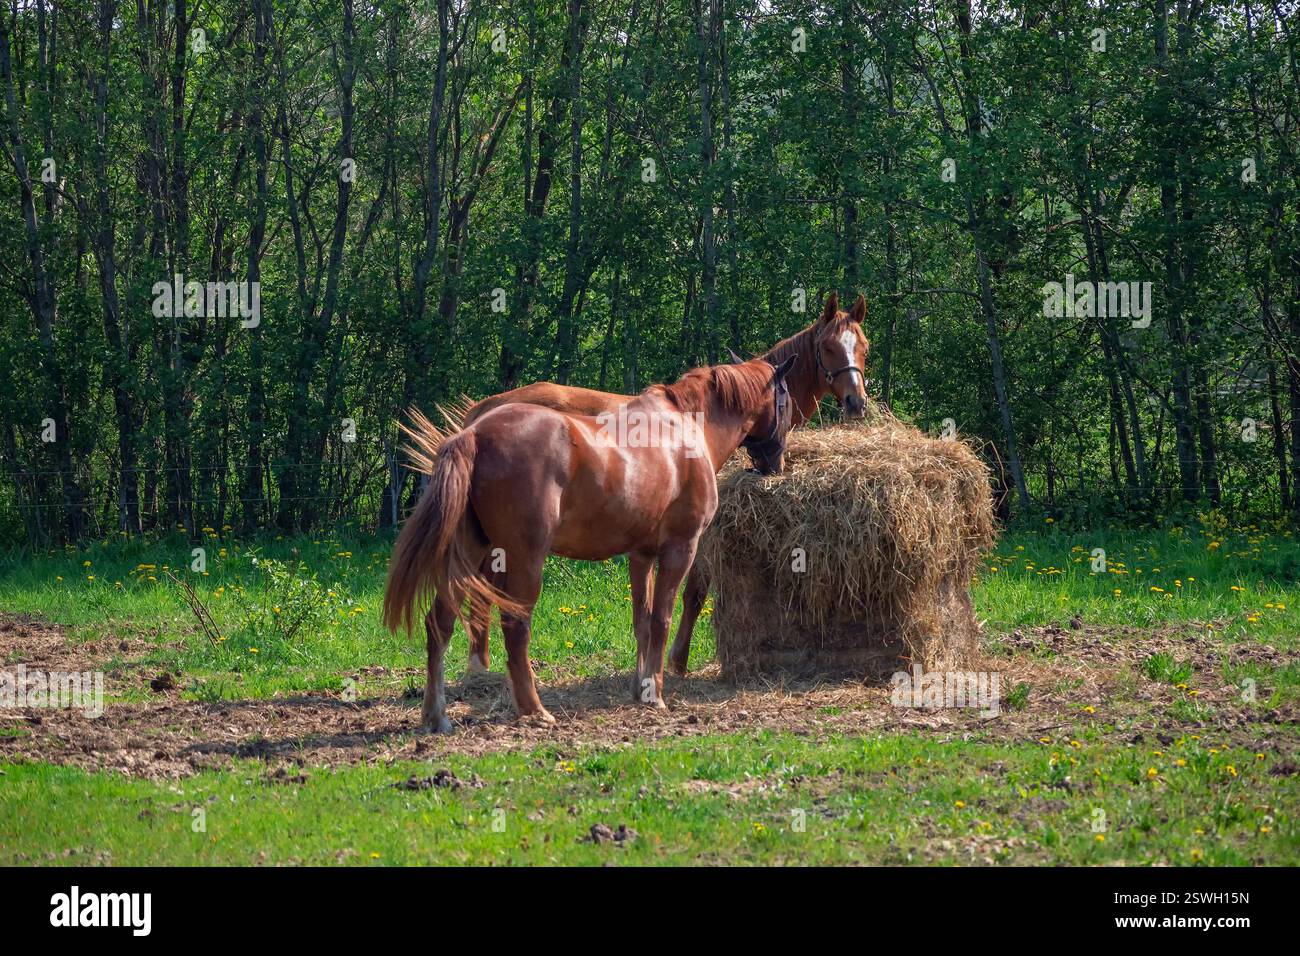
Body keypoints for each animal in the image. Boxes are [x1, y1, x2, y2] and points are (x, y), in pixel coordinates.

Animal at [382, 355, 797, 733]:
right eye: (785, 399)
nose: (775, 465)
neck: (684, 428)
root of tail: (475, 434)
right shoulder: (680, 549)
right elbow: (662, 619)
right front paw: (656, 693)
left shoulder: (641, 554)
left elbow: (642, 620)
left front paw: (640, 688)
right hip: (523, 559)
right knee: (514, 626)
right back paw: (533, 709)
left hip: (470, 554)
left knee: (441, 622)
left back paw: (436, 715)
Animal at [402, 291, 871, 677]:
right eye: (828, 347)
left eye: (862, 347)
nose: (856, 402)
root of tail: (482, 417)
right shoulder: (694, 535)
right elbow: (692, 594)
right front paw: (676, 661)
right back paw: (481, 666)